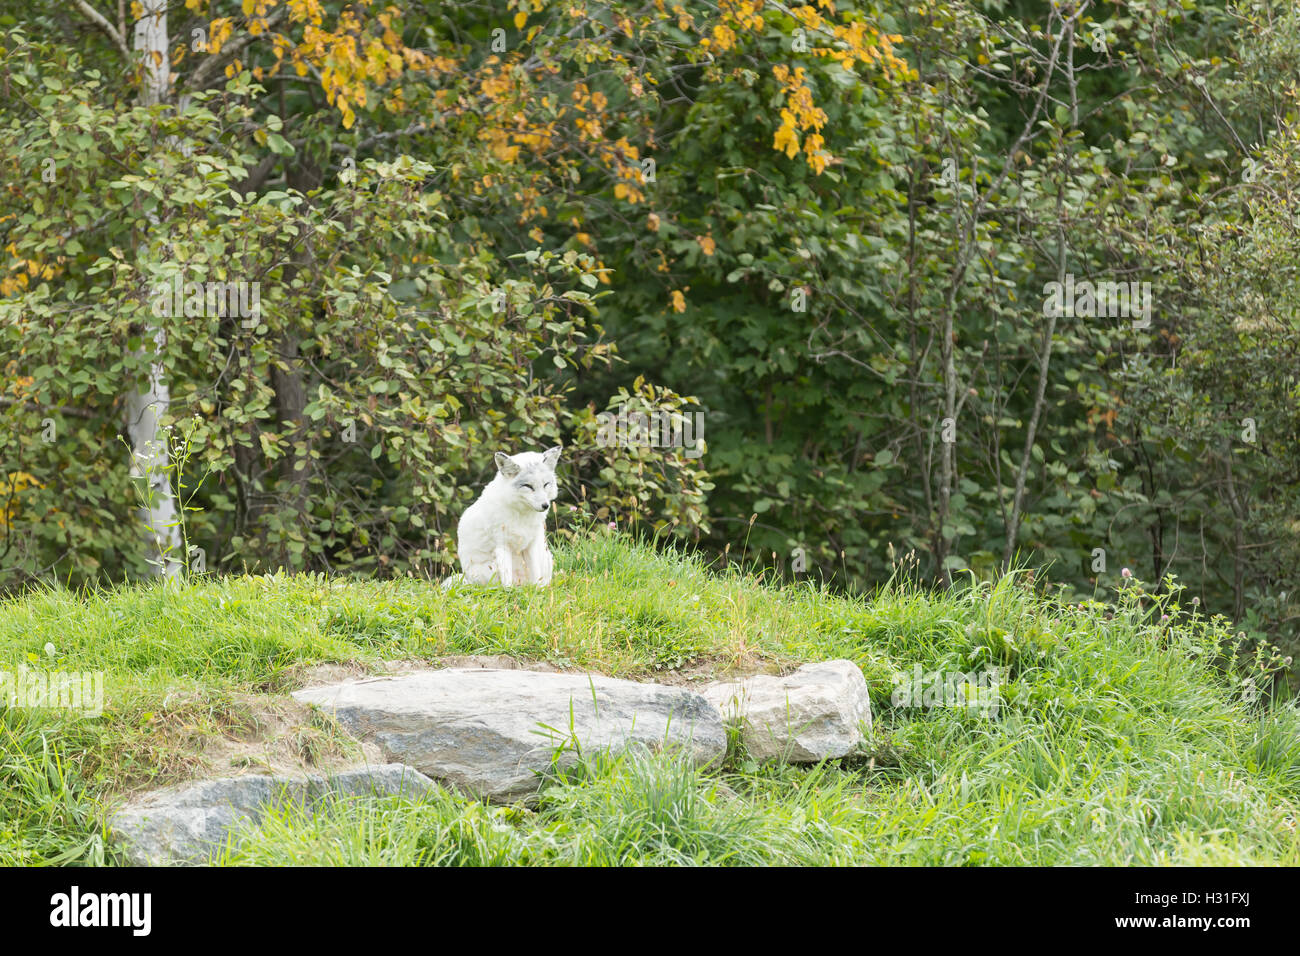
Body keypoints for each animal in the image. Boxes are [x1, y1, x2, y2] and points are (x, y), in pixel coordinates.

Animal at [448, 444, 562, 587]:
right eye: (528, 486)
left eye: (546, 484)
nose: (545, 505)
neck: (522, 516)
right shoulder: (502, 545)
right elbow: (507, 580)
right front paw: (509, 591)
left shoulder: (531, 544)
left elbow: (536, 575)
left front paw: (536, 590)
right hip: (489, 569)